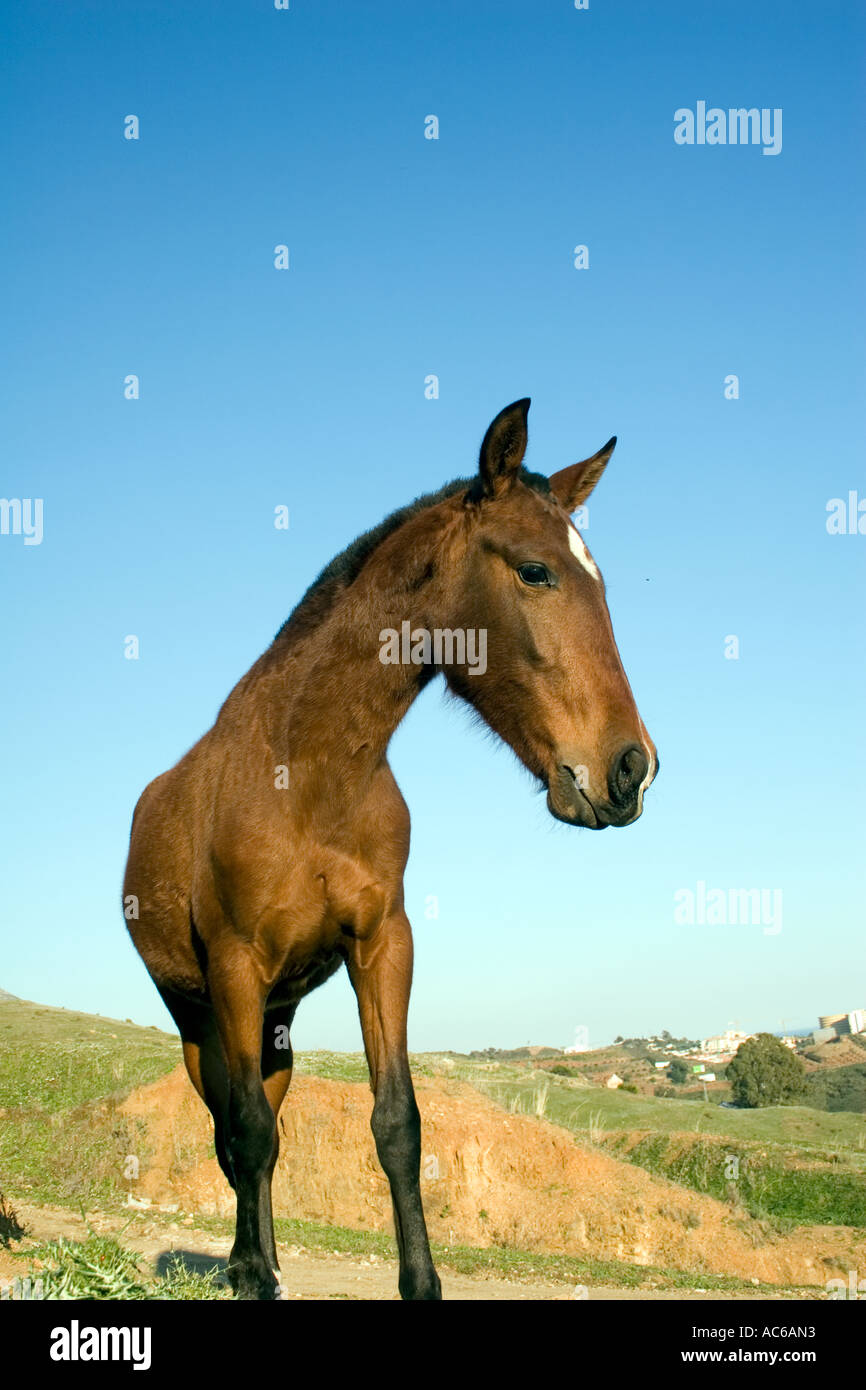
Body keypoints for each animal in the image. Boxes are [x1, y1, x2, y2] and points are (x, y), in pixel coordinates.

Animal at [123, 398, 658, 1300]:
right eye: (536, 571)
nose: (630, 769)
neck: (306, 772)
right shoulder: (233, 968)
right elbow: (247, 1135)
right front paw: (253, 1275)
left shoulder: (383, 945)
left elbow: (397, 1126)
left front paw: (417, 1282)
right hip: (200, 1017)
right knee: (235, 1132)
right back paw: (247, 1263)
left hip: (276, 1021)